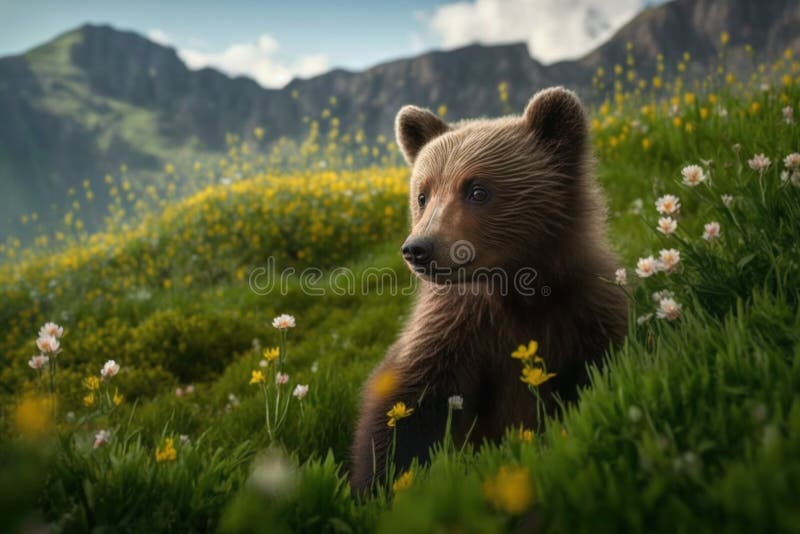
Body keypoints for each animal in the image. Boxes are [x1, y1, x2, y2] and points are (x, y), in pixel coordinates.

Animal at [350, 87, 628, 492]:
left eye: (478, 190)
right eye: (423, 194)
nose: (418, 248)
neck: (515, 287)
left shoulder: (588, 315)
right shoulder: (455, 331)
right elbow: (404, 405)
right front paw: (377, 483)